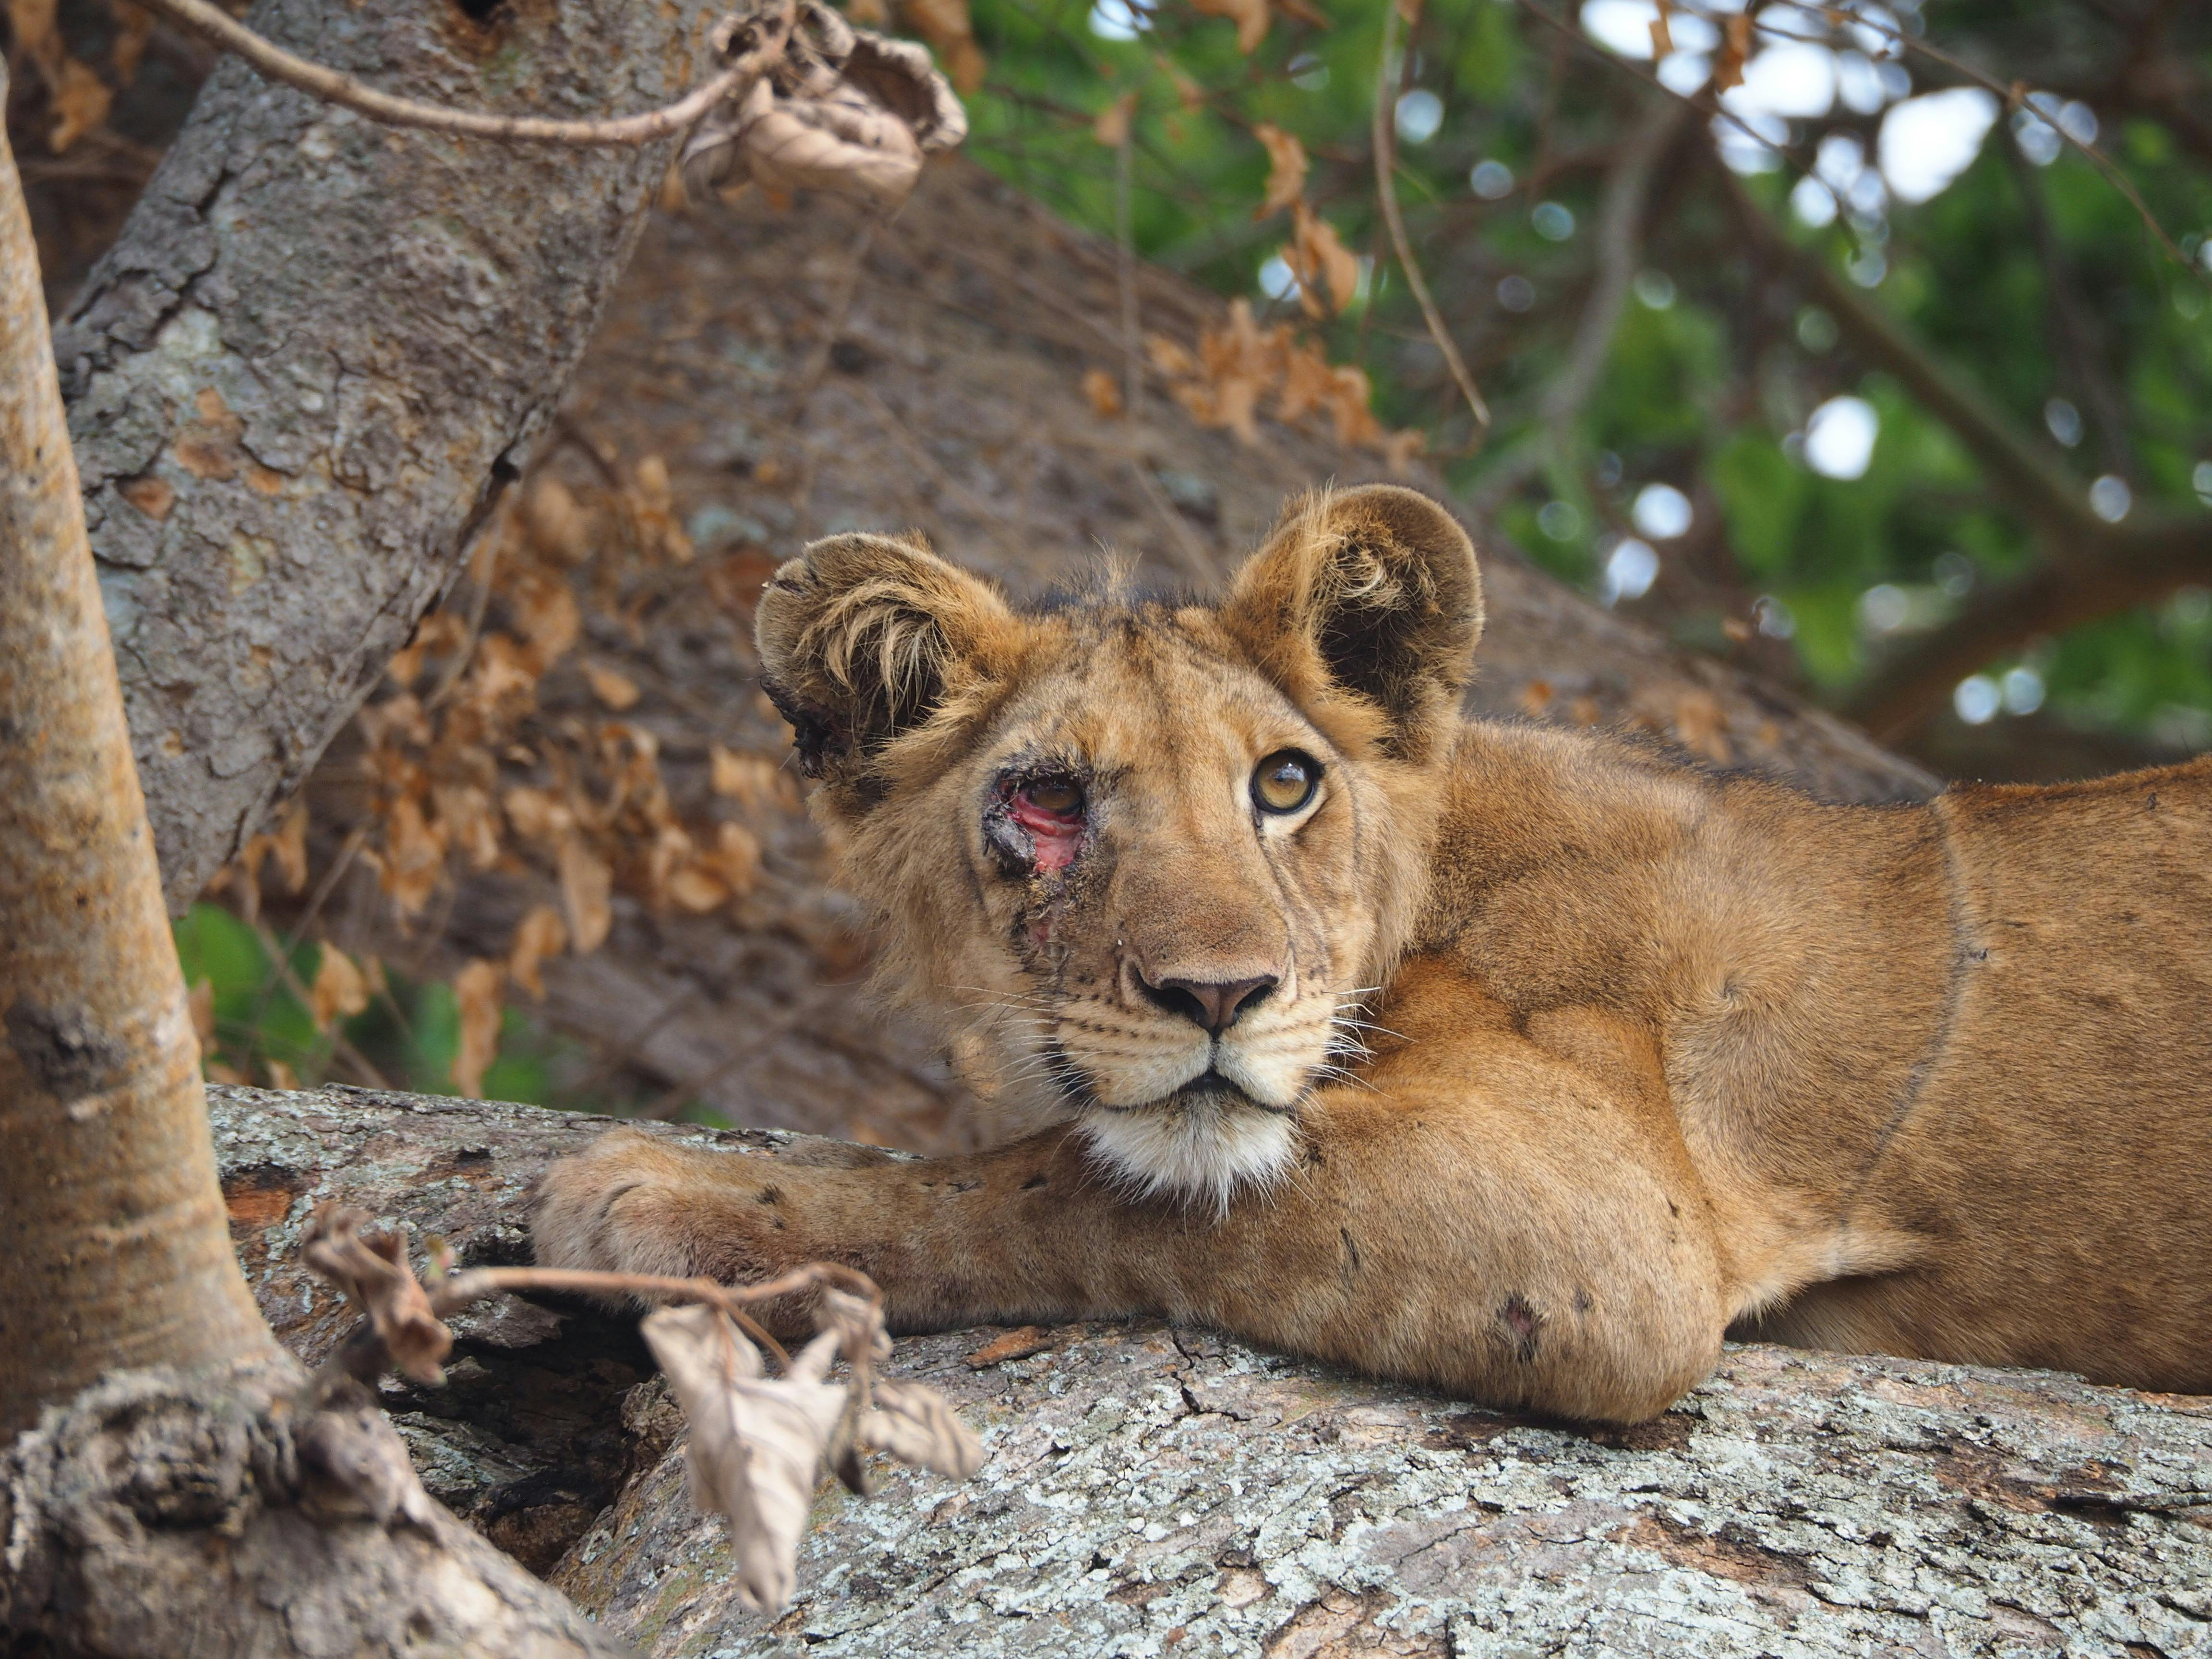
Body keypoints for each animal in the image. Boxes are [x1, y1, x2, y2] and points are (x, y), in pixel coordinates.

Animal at [535, 484, 2212, 1423]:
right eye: (1049, 799)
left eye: (1285, 784)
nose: (1220, 997)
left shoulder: (1607, 1230)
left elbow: (1060, 1184)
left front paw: (669, 1197)